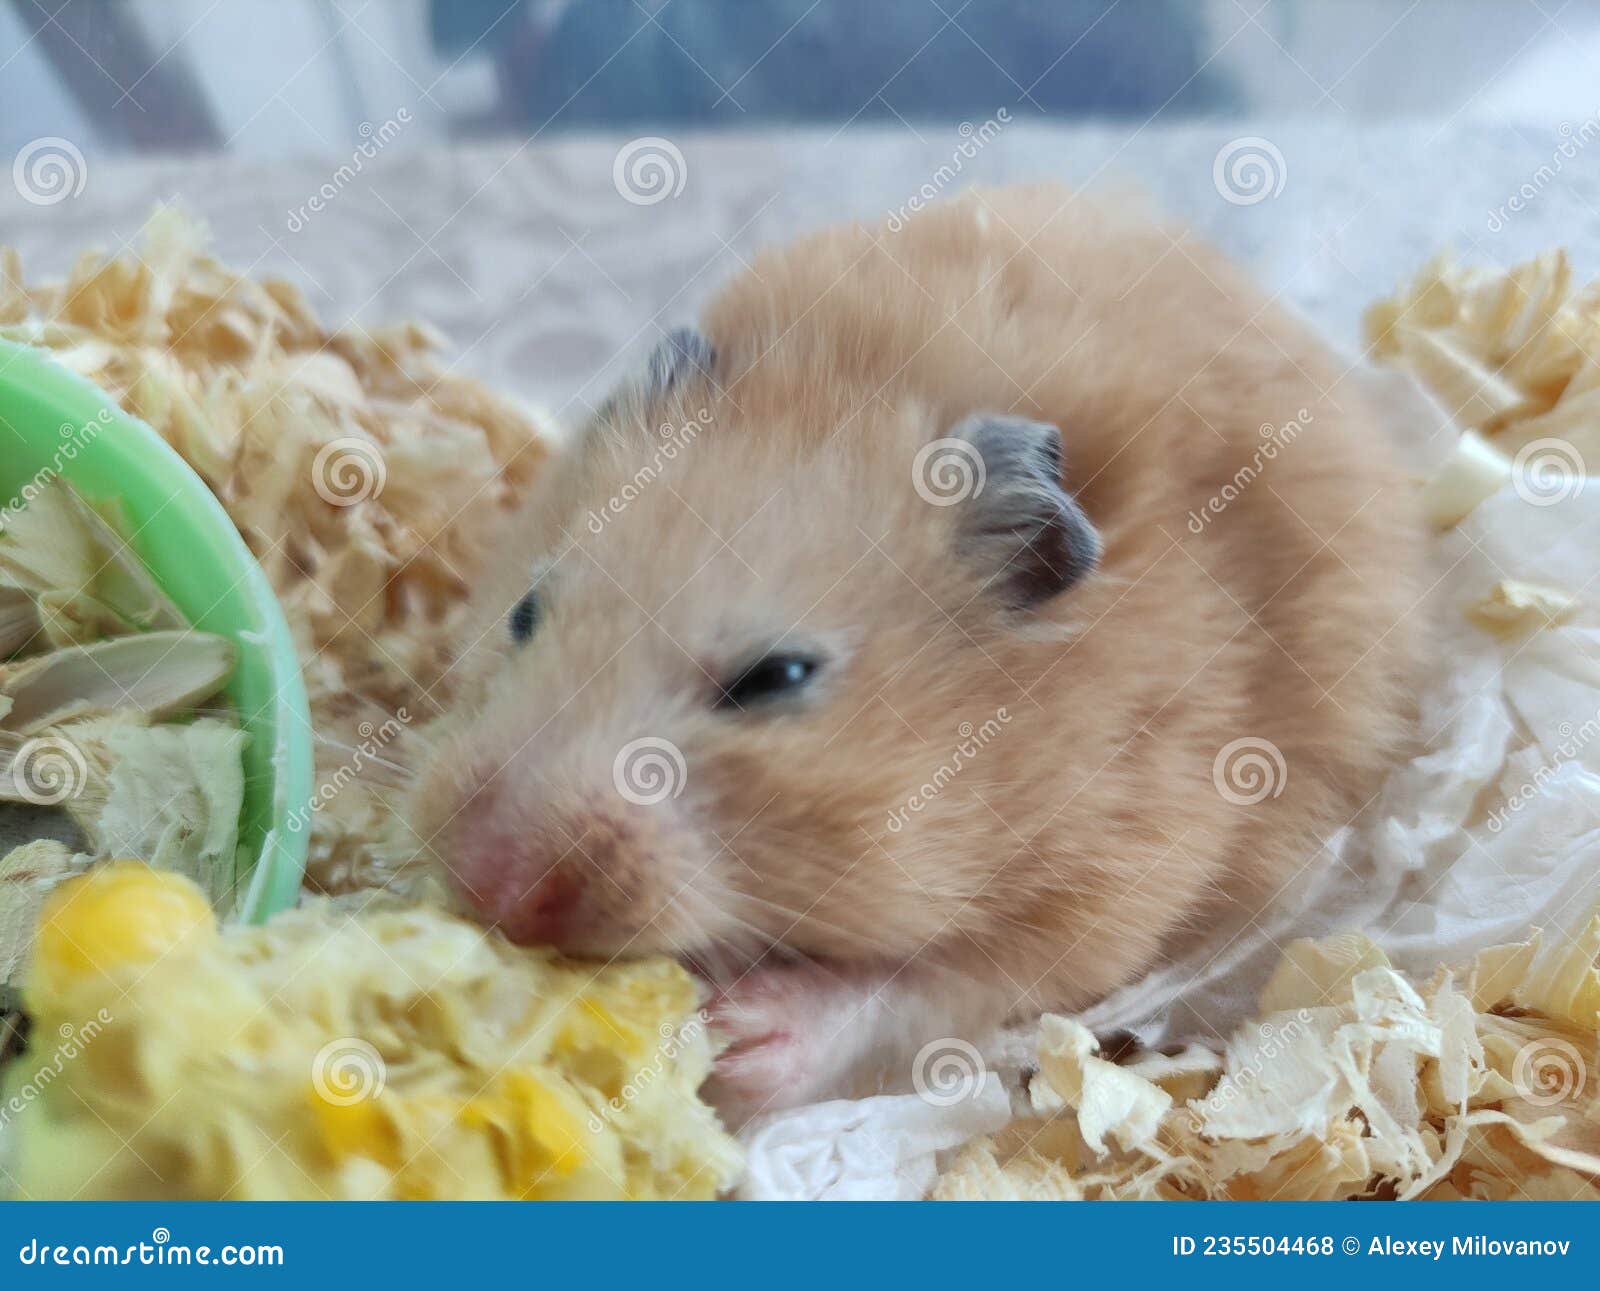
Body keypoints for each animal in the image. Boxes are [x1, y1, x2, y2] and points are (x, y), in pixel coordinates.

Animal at [408, 184, 1421, 1126]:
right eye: (525, 611)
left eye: (776, 678)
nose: (488, 882)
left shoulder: (1124, 872)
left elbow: (926, 983)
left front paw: (738, 1036)